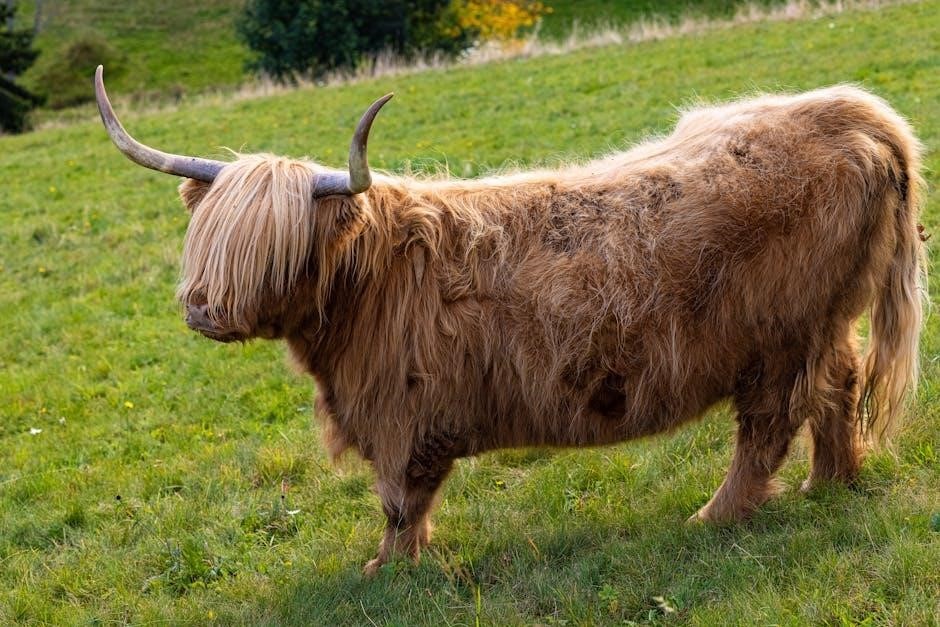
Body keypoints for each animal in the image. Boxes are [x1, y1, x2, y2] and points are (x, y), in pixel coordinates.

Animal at [94, 66, 926, 574]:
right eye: (207, 236)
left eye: (273, 248)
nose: (203, 310)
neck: (368, 284)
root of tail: (851, 111)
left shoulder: (404, 411)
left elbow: (401, 497)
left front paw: (387, 569)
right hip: (827, 320)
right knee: (838, 385)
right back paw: (832, 481)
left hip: (779, 336)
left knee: (768, 425)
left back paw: (715, 516)